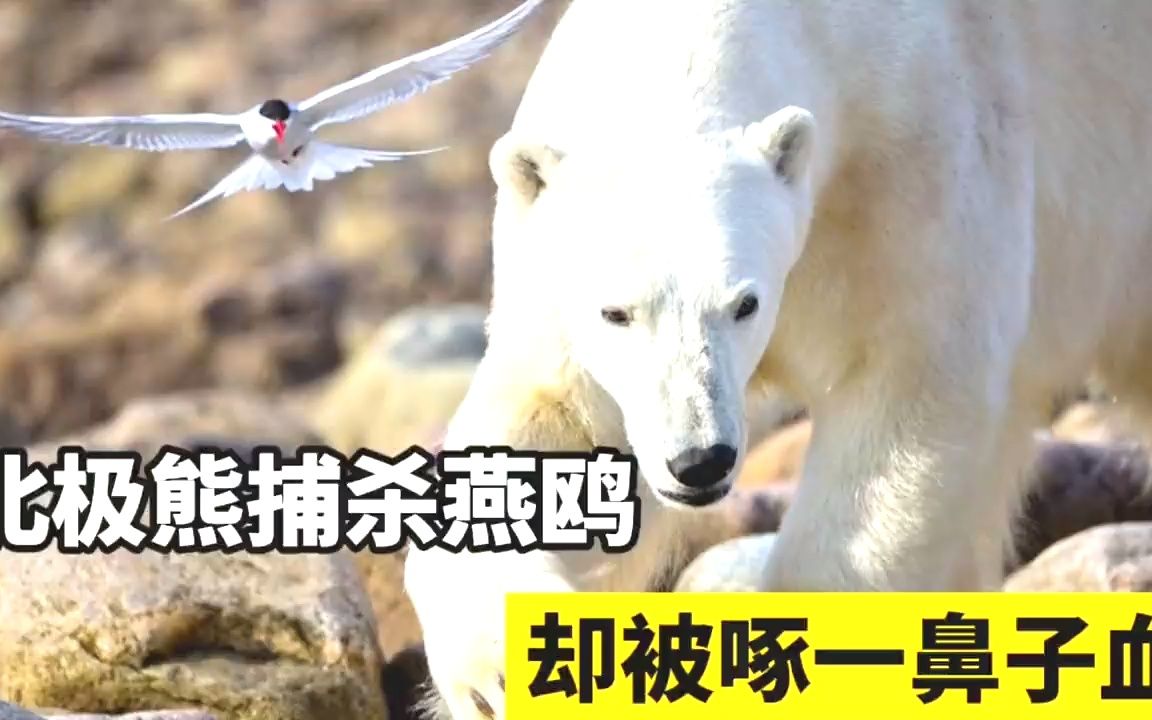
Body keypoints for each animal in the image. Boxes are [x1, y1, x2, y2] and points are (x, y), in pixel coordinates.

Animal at [405, 0, 1152, 717]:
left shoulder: (915, 170)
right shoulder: (552, 286)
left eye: (745, 303)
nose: (698, 461)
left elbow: (907, 396)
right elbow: (553, 430)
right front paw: (495, 671)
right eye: (615, 312)